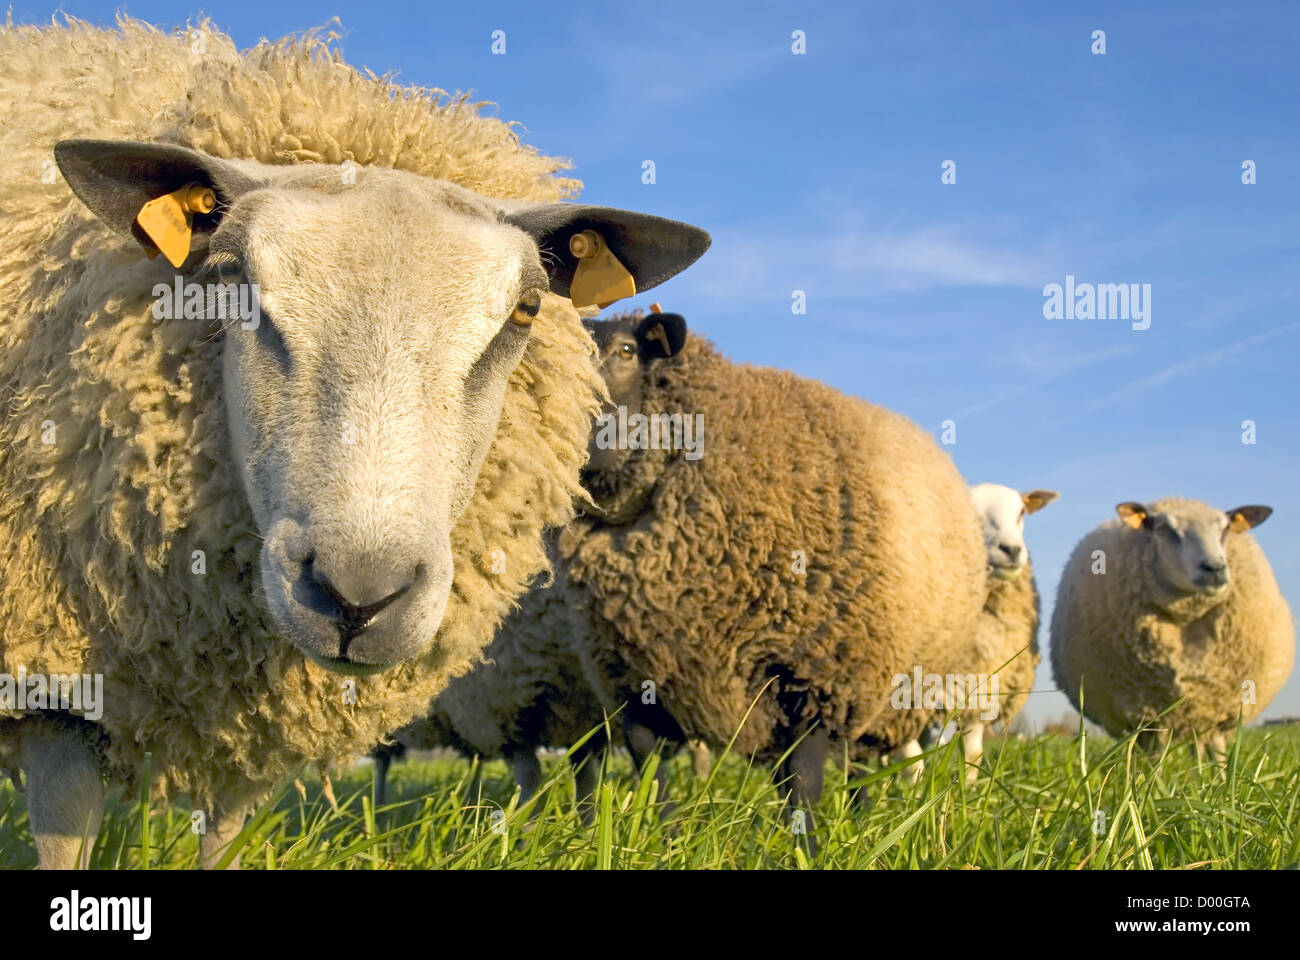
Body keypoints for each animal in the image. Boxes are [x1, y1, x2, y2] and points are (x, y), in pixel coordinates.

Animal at [0, 18, 709, 869]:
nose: (357, 599)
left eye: (527, 310)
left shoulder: (254, 726)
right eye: (230, 277)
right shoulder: (57, 680)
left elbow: (226, 836)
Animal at [558, 310, 987, 828]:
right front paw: (663, 836)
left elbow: (803, 782)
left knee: (860, 764)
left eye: (625, 351)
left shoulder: (812, 676)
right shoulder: (633, 686)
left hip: (888, 693)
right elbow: (654, 783)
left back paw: (861, 821)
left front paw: (805, 840)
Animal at [1051, 497, 1295, 760]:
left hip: (1198, 713)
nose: (1214, 568)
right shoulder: (1149, 711)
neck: (1187, 620)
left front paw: (1220, 773)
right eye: (1164, 528)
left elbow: (1218, 753)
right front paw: (1151, 774)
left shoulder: (1220, 711)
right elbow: (1156, 756)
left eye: (1226, 528)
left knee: (1199, 745)